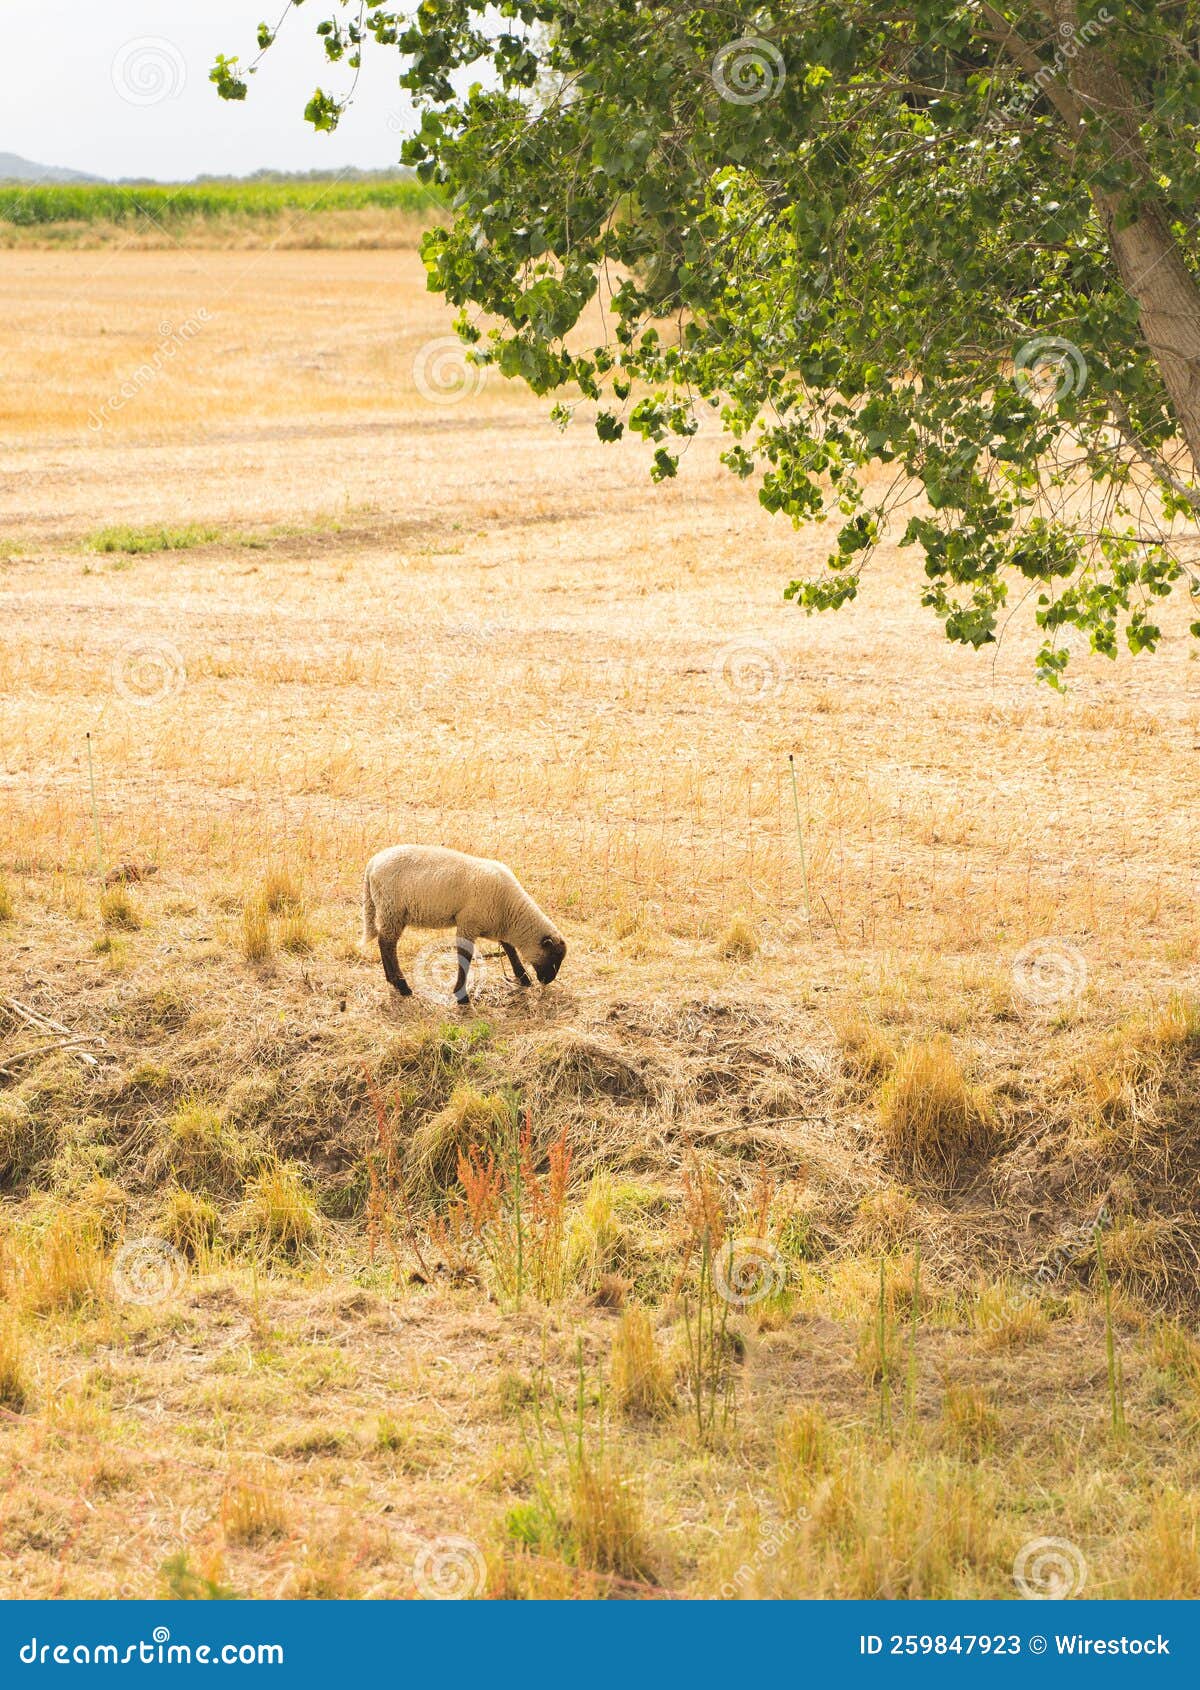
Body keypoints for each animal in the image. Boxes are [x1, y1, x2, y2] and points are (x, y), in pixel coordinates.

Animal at [362, 844, 566, 1005]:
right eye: (554, 956)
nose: (547, 981)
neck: (510, 909)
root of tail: (372, 863)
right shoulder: (468, 924)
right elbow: (465, 958)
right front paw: (462, 996)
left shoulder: (496, 923)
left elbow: (509, 949)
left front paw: (523, 978)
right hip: (392, 909)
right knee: (387, 944)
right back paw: (402, 986)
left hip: (391, 912)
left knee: (385, 942)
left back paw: (393, 982)